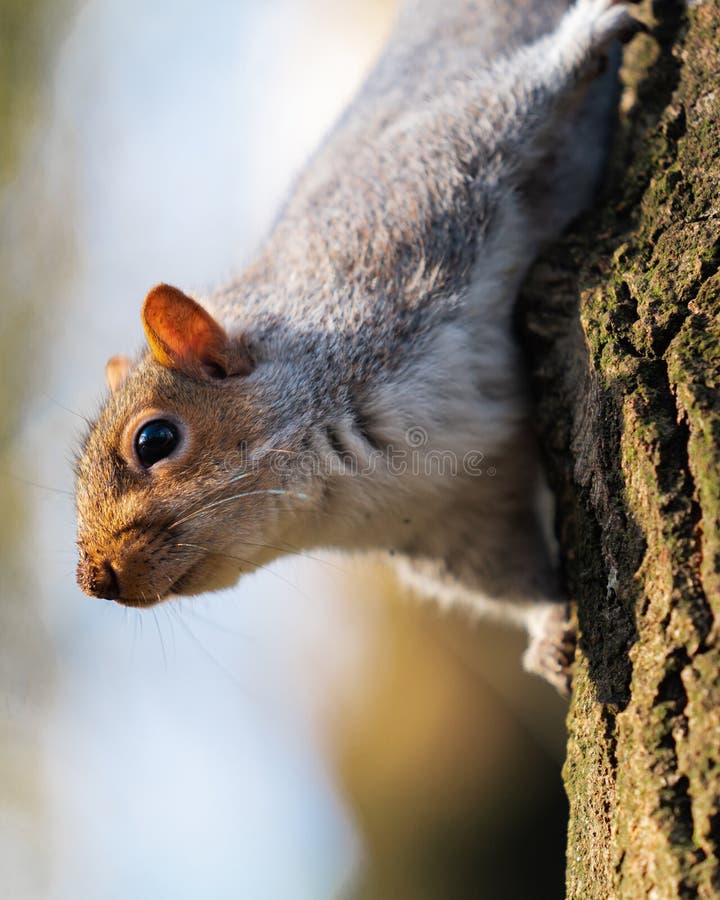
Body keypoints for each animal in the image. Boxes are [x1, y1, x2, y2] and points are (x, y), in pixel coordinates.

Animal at [75, 0, 642, 694]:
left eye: (154, 439)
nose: (94, 579)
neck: (342, 477)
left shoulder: (410, 214)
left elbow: (497, 108)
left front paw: (586, 36)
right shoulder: (452, 521)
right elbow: (511, 578)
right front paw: (550, 630)